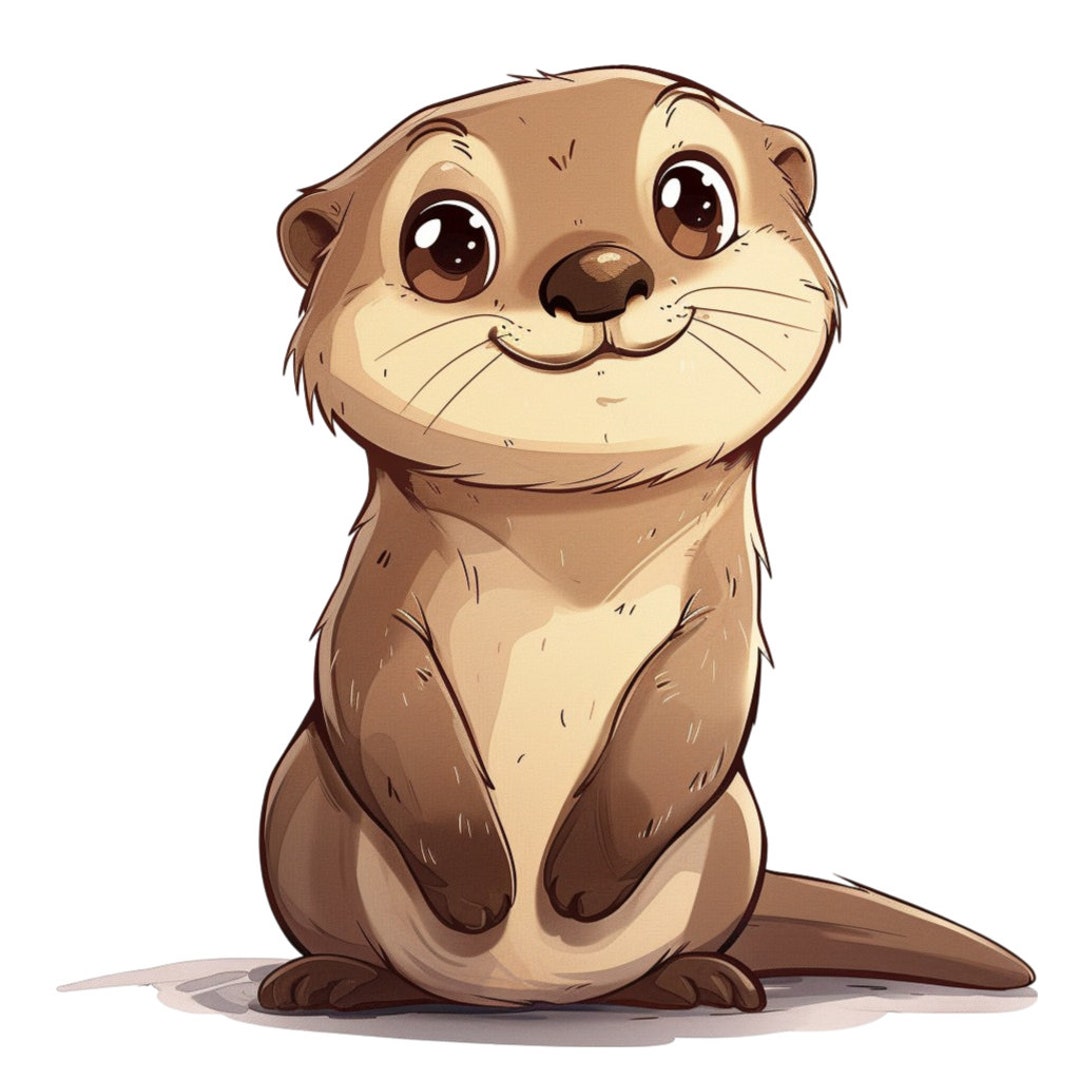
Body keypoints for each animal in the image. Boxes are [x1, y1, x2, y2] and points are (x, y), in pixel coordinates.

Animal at [258, 67, 1033, 1012]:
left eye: (694, 198)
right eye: (446, 242)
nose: (599, 273)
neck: (574, 553)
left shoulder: (725, 604)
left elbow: (697, 710)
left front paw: (580, 881)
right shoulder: (376, 593)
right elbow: (375, 694)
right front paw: (481, 888)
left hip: (735, 833)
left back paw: (701, 977)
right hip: (299, 815)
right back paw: (330, 977)